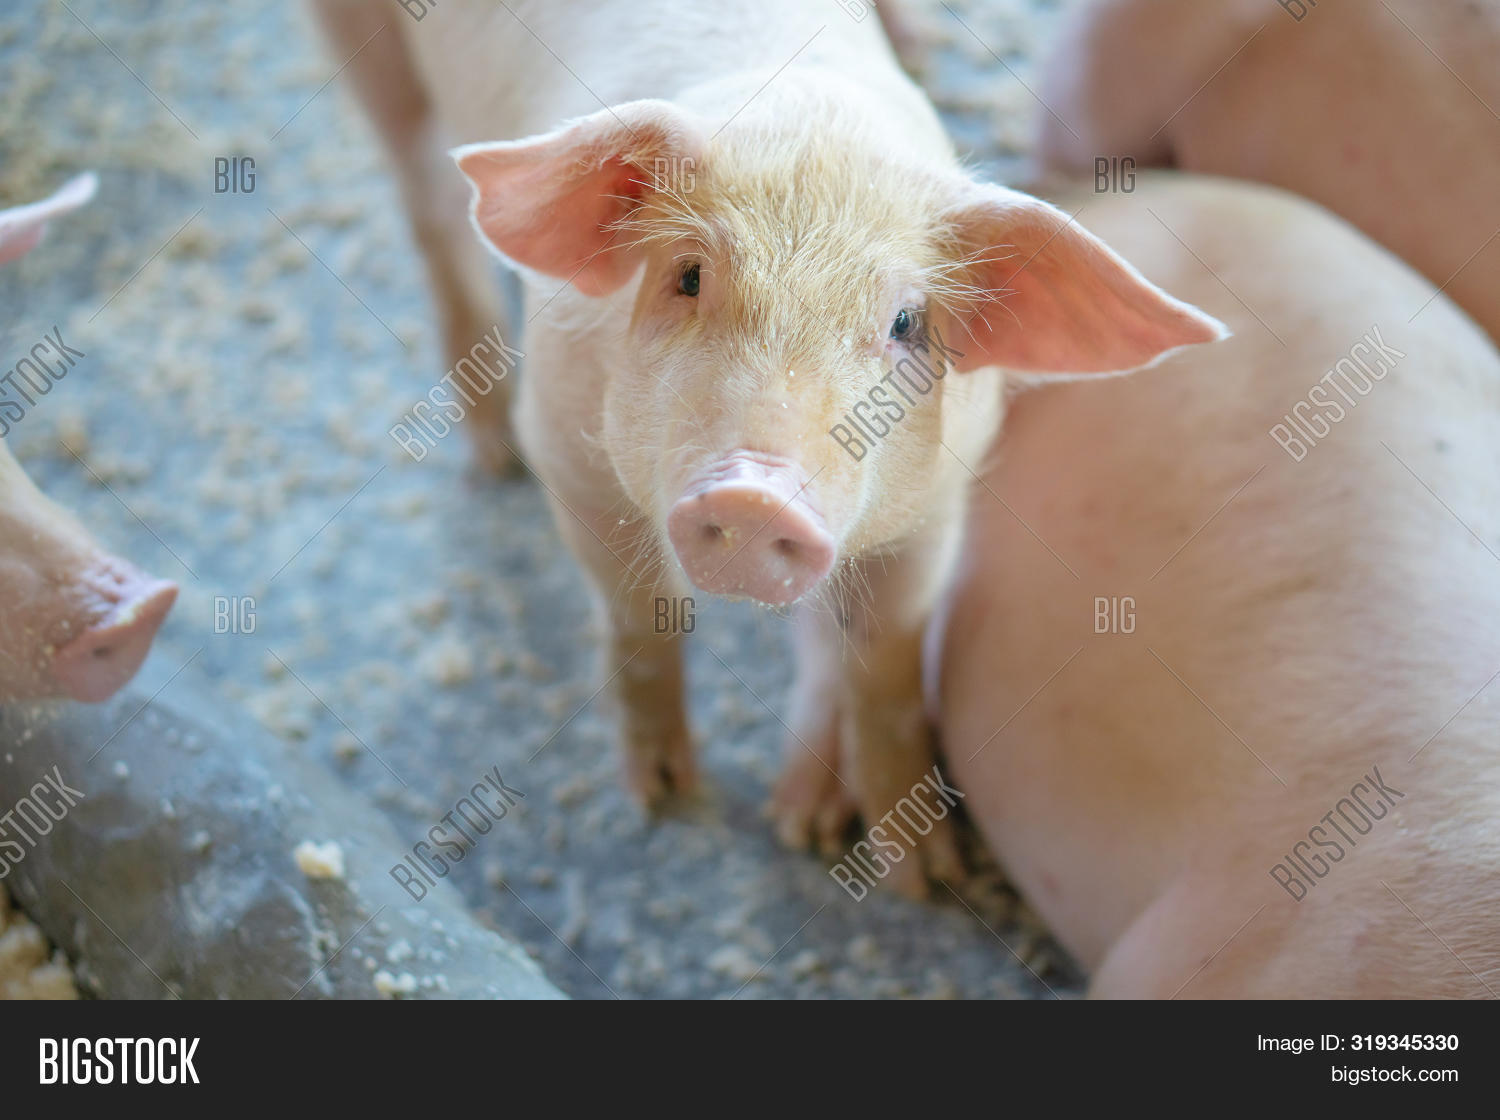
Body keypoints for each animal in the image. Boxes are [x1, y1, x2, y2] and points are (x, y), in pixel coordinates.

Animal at [311, 0, 1225, 894]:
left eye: (905, 323)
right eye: (687, 276)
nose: (753, 496)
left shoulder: (937, 506)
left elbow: (883, 659)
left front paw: (913, 874)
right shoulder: (569, 453)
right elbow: (638, 620)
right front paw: (667, 797)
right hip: (368, 52)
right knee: (427, 202)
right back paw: (490, 451)